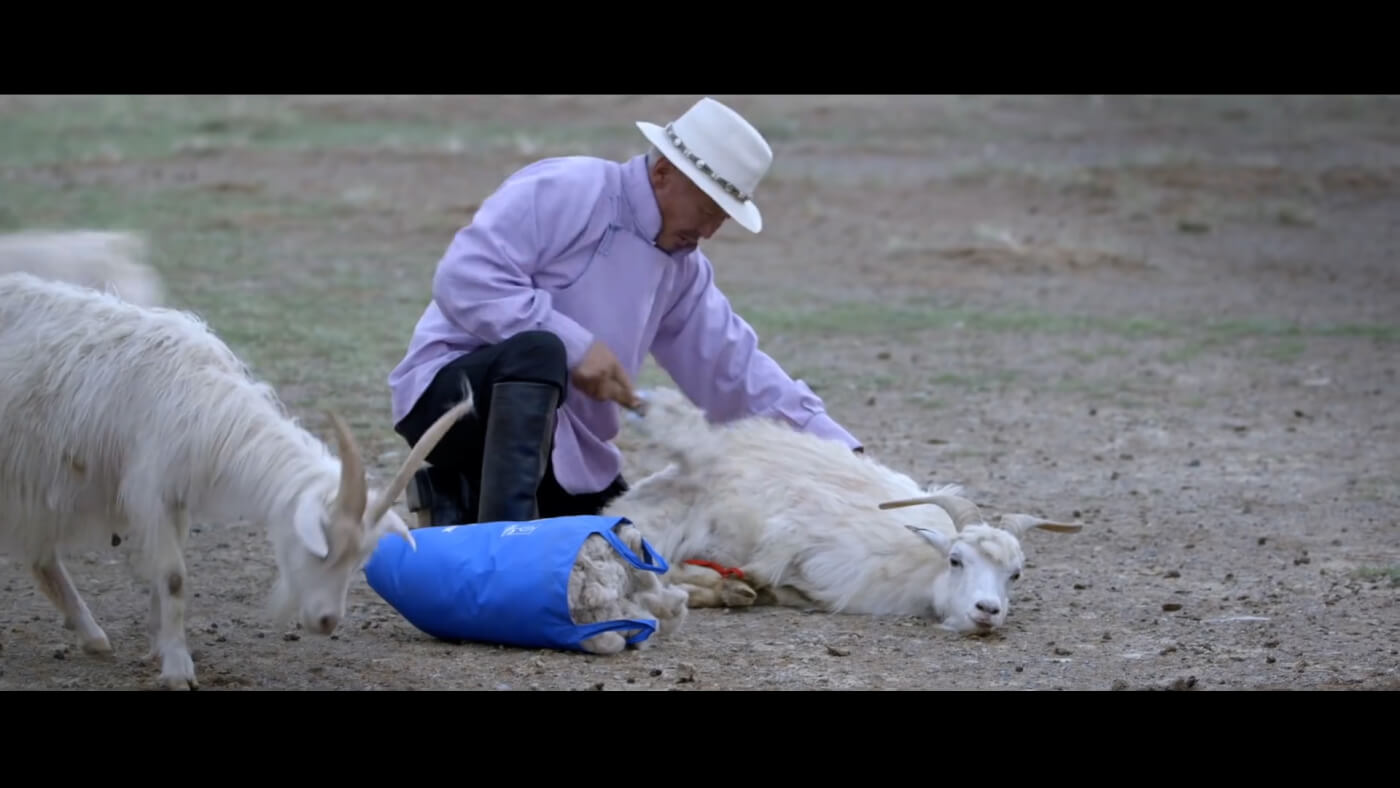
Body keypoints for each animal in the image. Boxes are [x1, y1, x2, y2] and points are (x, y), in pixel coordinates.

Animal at [0, 272, 472, 689]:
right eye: (321, 550)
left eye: (361, 559)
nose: (327, 622)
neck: (199, 401)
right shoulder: (151, 490)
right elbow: (173, 577)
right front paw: (177, 669)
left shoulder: (176, 499)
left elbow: (161, 580)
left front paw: (159, 647)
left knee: (41, 555)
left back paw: (91, 635)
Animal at [601, 387, 1082, 635]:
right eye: (955, 560)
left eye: (1015, 575)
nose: (988, 610)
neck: (922, 569)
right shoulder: (802, 532)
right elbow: (767, 560)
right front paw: (739, 581)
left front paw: (740, 588)